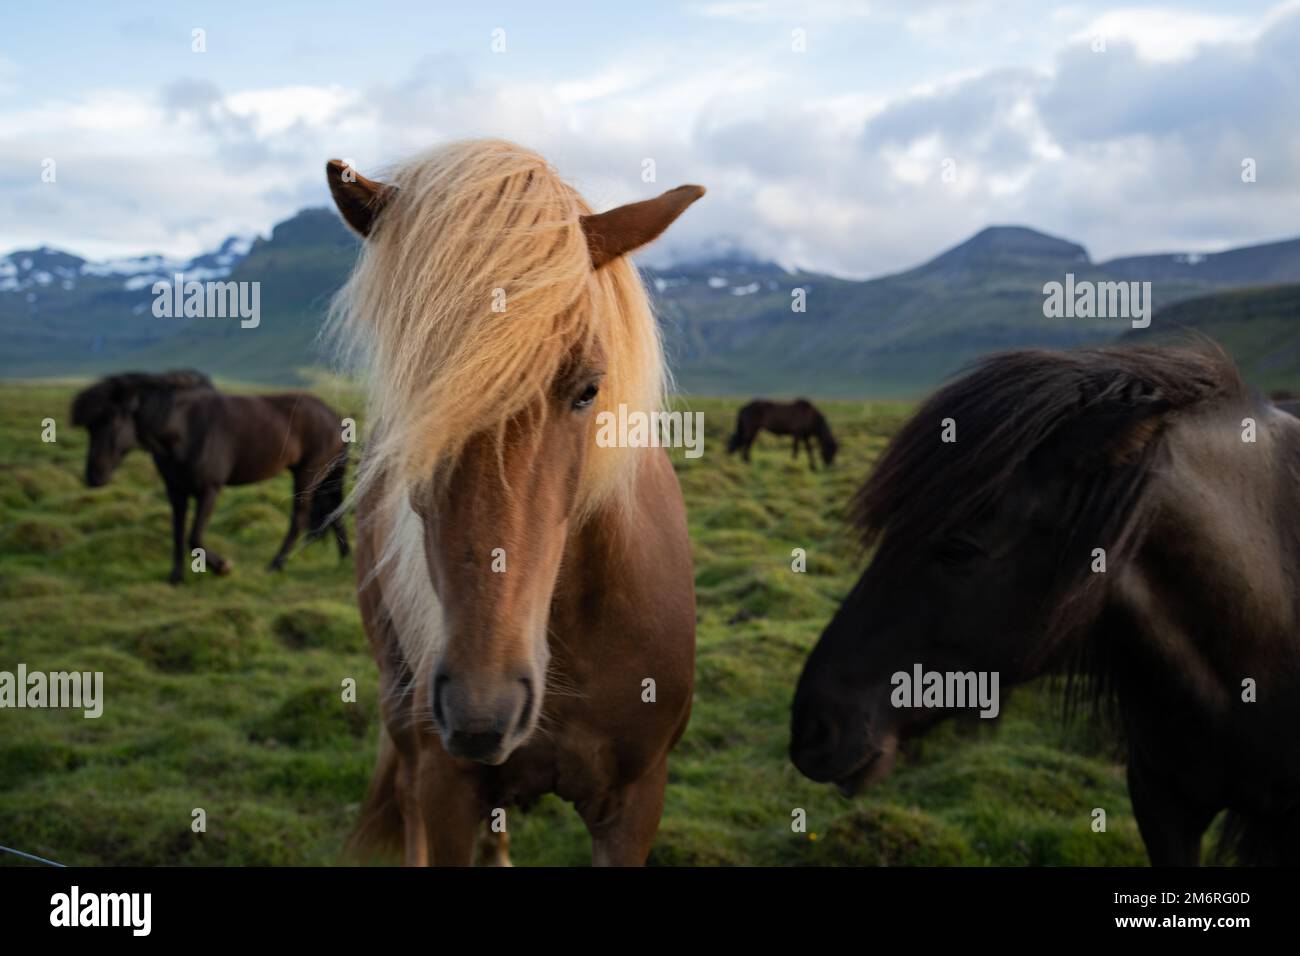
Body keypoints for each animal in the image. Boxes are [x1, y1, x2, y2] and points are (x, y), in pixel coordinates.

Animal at [71, 371, 350, 583]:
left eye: (112, 420)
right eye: (90, 427)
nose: (93, 476)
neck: (186, 430)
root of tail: (334, 416)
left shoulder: (209, 490)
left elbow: (194, 537)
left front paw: (223, 567)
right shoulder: (176, 491)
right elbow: (178, 533)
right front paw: (176, 577)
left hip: (306, 475)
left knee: (300, 518)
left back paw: (275, 565)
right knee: (333, 511)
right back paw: (345, 558)